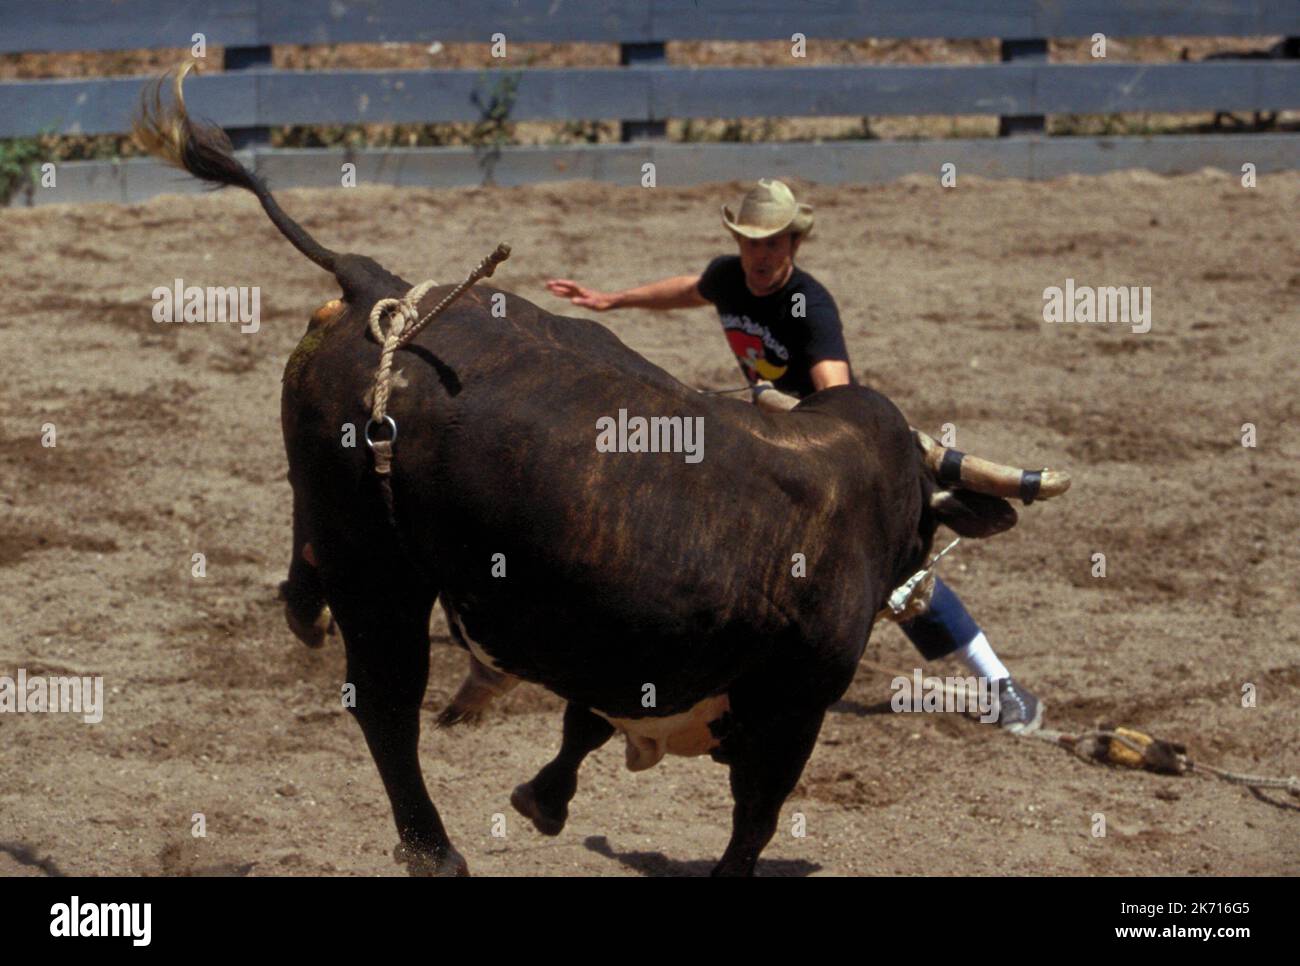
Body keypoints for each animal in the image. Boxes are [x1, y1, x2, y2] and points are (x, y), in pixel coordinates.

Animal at [134, 65, 1069, 876]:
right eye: (924, 526)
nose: (913, 584)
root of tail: (375, 282)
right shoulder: (791, 710)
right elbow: (755, 822)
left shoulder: (613, 636)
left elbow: (583, 727)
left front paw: (543, 798)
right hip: (381, 571)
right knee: (388, 705)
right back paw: (434, 849)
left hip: (335, 510)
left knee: (311, 569)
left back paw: (306, 614)